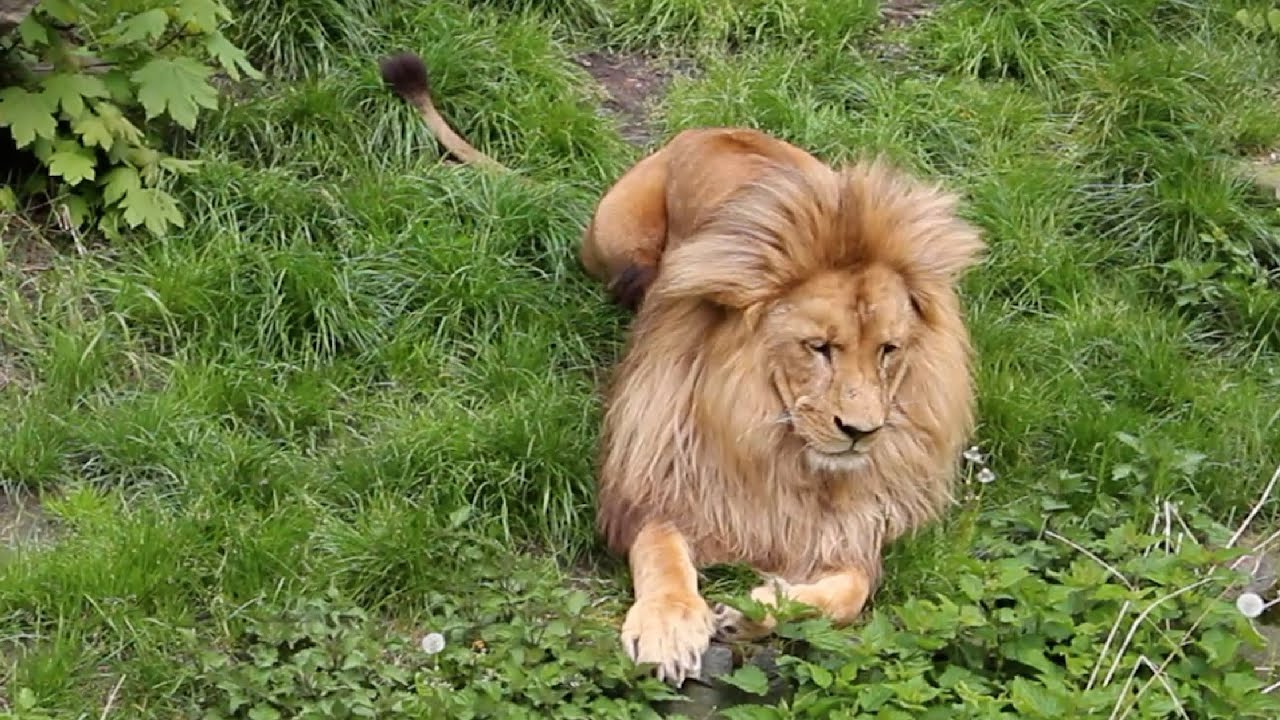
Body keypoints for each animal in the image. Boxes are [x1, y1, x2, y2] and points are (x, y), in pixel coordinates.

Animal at [378, 51, 986, 687]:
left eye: (889, 350)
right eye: (818, 347)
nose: (862, 432)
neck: (771, 441)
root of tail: (704, 131)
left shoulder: (851, 529)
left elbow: (852, 592)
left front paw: (756, 609)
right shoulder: (658, 482)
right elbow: (664, 555)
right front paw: (669, 628)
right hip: (618, 239)